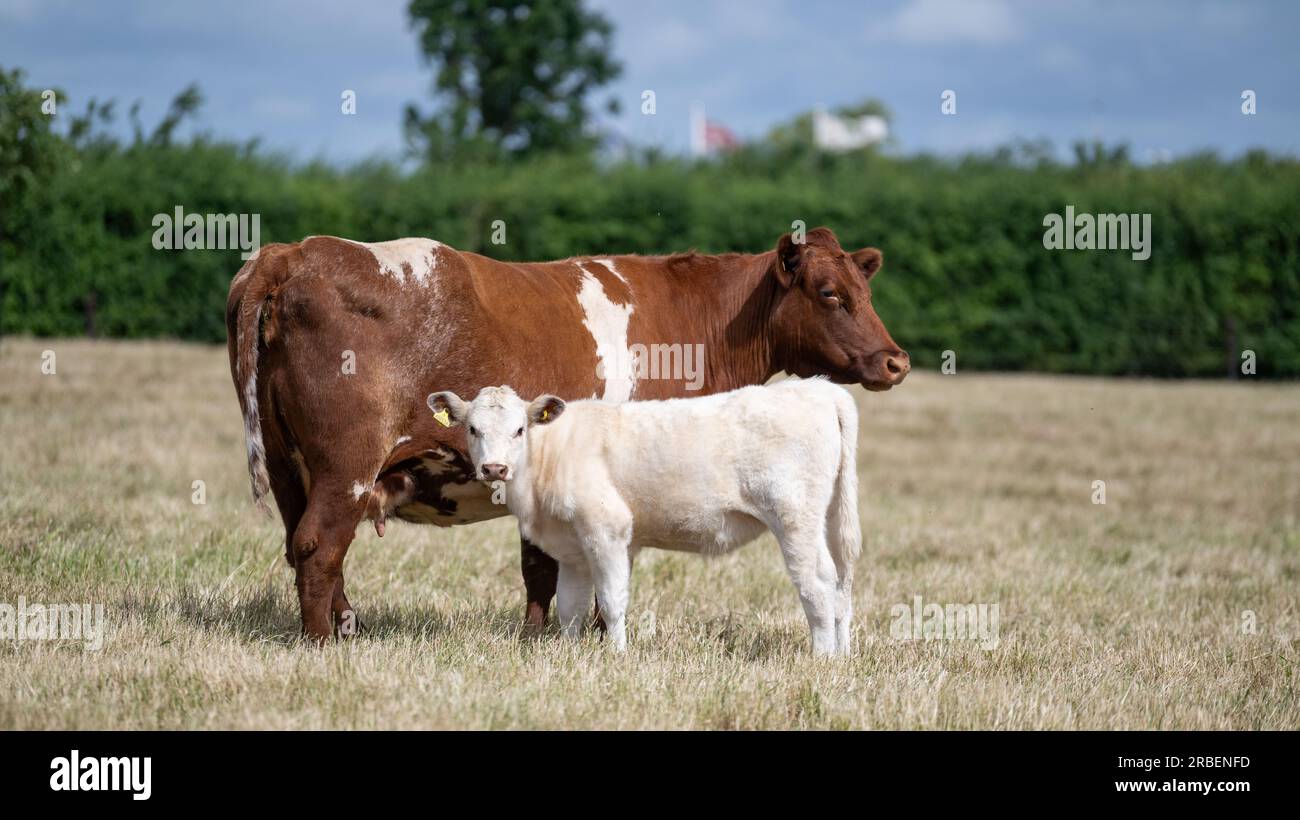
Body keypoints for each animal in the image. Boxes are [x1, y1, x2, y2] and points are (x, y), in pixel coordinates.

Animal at [426, 378, 861, 655]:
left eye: (519, 430)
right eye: (473, 429)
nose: (494, 468)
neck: (551, 454)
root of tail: (819, 388)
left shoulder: (608, 529)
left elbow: (611, 601)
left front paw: (617, 656)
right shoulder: (571, 548)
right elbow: (571, 607)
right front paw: (568, 655)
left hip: (795, 518)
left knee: (817, 584)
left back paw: (821, 658)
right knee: (840, 583)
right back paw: (840, 657)